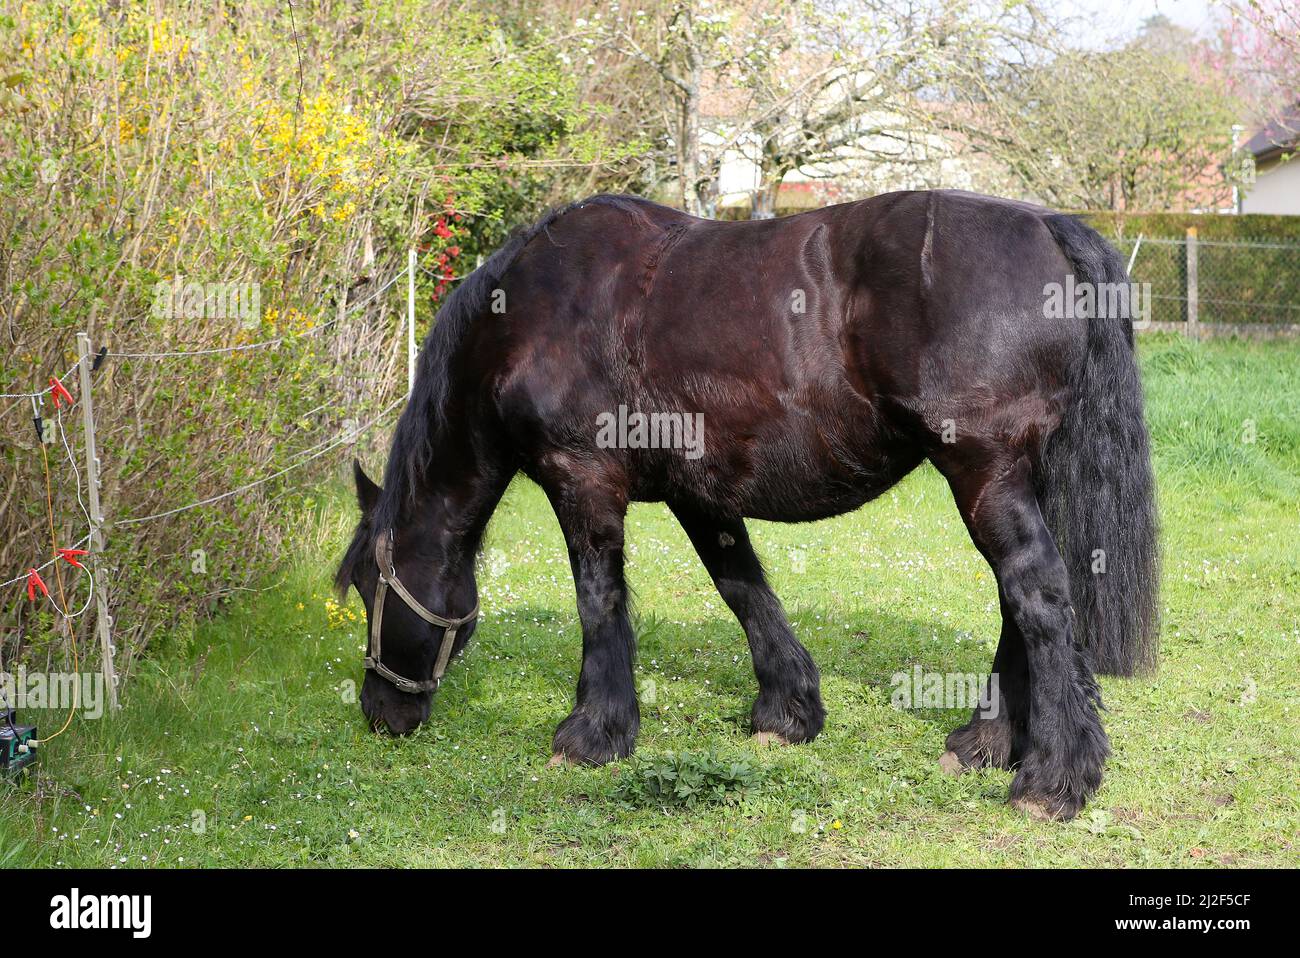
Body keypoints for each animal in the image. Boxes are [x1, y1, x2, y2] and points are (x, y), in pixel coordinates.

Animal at [335, 190, 1159, 821]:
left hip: (984, 472)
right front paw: (787, 713)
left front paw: (593, 732)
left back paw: (1051, 780)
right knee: (1020, 603)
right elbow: (742, 588)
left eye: (373, 591)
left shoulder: (584, 482)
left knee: (1037, 597)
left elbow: (600, 600)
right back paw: (984, 744)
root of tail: (1047, 226)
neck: (539, 311)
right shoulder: (700, 494)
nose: (380, 714)